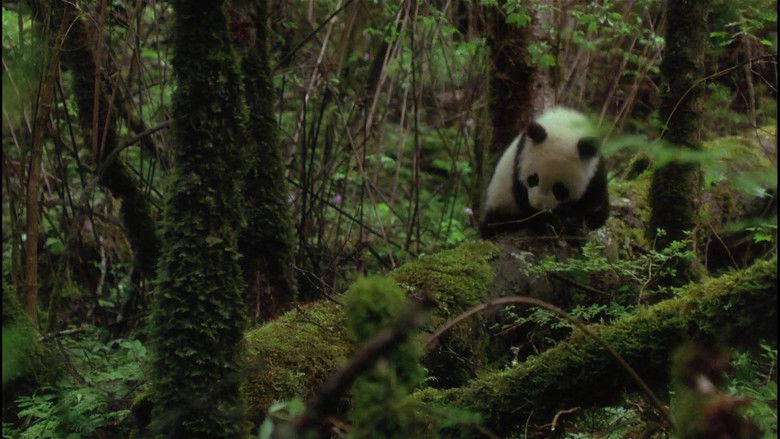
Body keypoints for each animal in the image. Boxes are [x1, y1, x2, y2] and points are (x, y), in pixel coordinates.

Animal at [480, 107, 609, 238]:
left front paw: (580, 221)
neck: (566, 125)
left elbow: (594, 203)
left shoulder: (595, 171)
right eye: (533, 179)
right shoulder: (519, 162)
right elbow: (526, 207)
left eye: (559, 189)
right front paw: (553, 224)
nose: (538, 205)